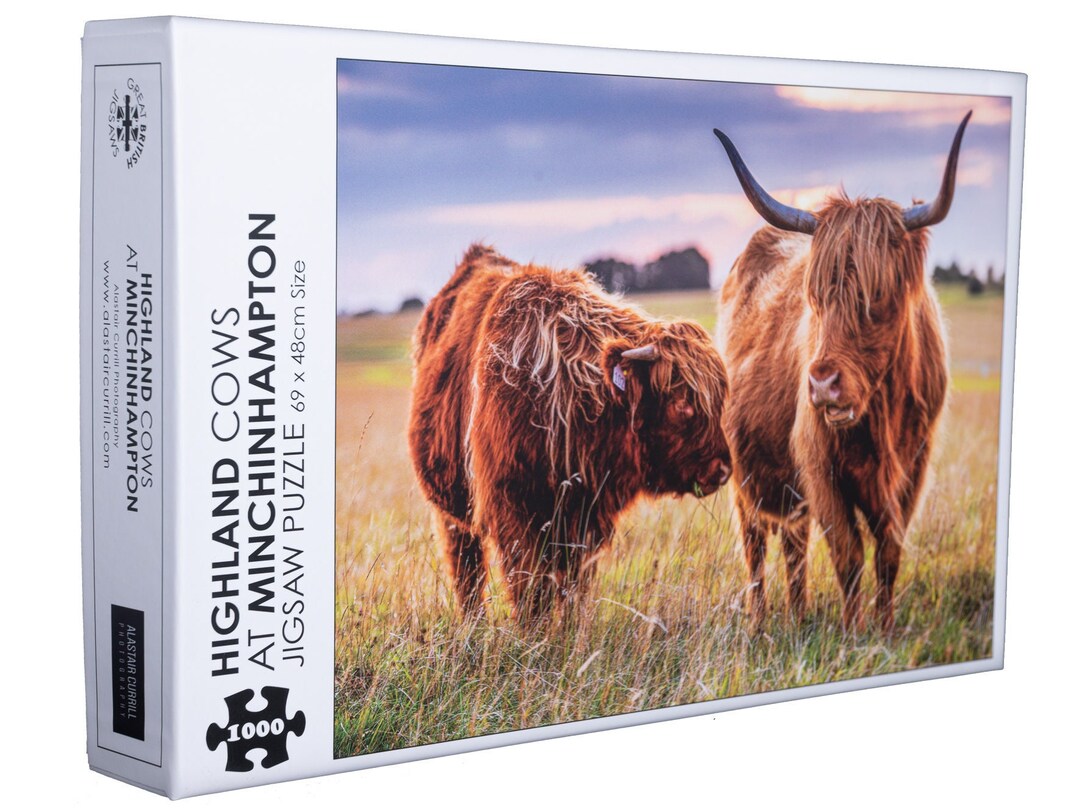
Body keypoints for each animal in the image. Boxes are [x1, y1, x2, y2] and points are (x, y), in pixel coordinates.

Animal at [408, 244, 733, 622]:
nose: (722, 468)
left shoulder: (586, 521)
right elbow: (532, 594)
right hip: (450, 511)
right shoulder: (514, 516)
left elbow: (573, 591)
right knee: (467, 571)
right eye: (683, 403)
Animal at [712, 112, 970, 631]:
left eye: (878, 297)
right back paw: (760, 623)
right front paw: (852, 632)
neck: (883, 412)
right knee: (755, 545)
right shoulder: (820, 466)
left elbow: (888, 554)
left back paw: (799, 613)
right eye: (816, 297)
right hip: (745, 477)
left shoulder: (912, 468)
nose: (823, 385)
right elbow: (848, 556)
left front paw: (885, 629)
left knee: (793, 546)